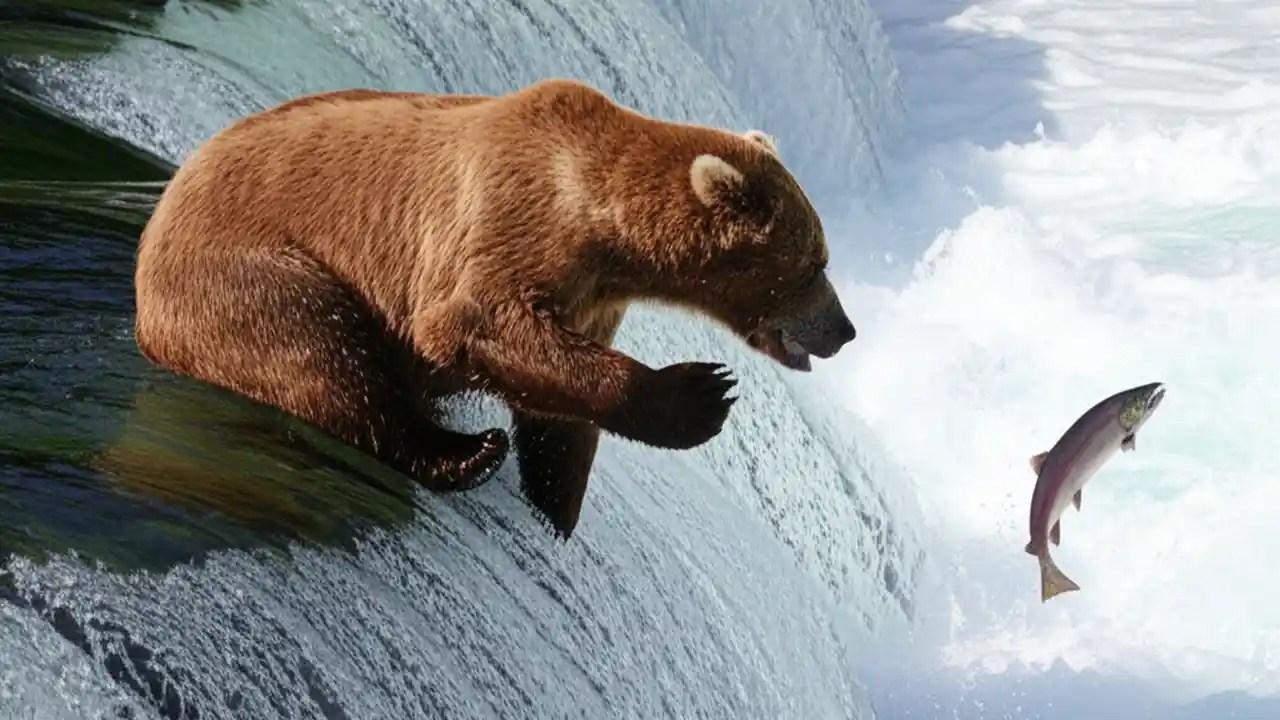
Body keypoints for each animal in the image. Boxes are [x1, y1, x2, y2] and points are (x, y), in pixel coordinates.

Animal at [133, 78, 856, 539]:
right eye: (816, 263)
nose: (844, 331)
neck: (610, 230)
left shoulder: (589, 296)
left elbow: (556, 399)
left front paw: (555, 504)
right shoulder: (506, 227)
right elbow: (476, 325)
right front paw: (701, 393)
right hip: (247, 273)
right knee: (321, 354)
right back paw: (464, 452)